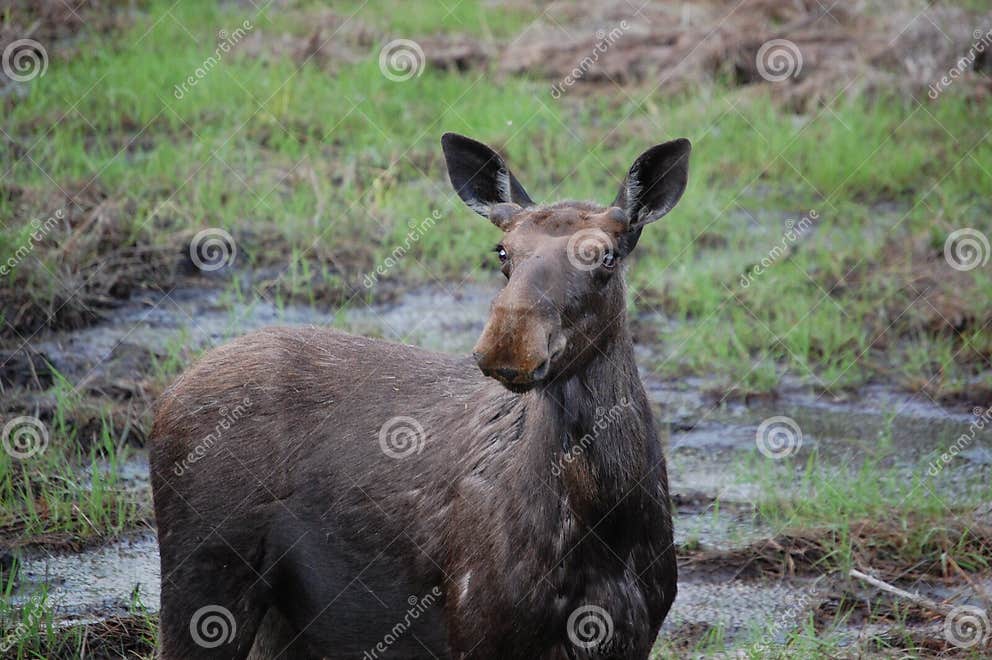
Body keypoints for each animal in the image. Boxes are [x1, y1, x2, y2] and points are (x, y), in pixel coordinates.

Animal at [150, 132, 690, 659]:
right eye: (502, 252)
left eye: (607, 256)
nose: (509, 341)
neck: (604, 522)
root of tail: (170, 394)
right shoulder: (476, 631)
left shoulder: (632, 636)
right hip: (201, 586)